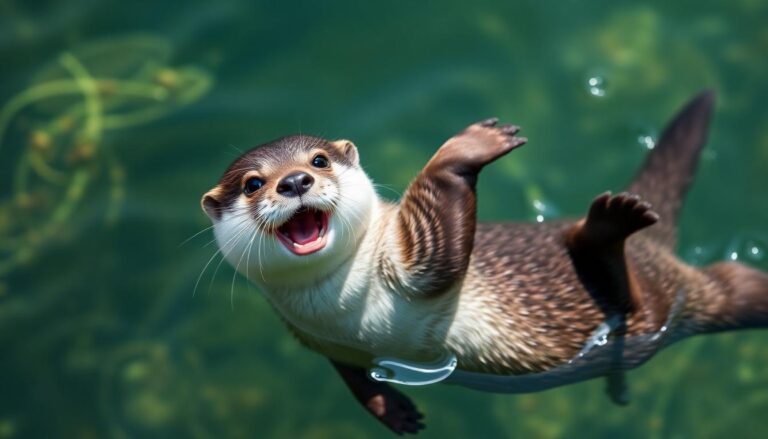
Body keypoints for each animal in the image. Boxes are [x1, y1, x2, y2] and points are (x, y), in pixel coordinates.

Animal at [200, 91, 768, 434]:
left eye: (318, 161)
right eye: (253, 183)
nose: (294, 181)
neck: (339, 309)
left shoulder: (412, 262)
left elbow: (443, 238)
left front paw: (467, 147)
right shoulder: (317, 341)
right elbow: (353, 379)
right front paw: (393, 411)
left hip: (660, 303)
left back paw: (607, 227)